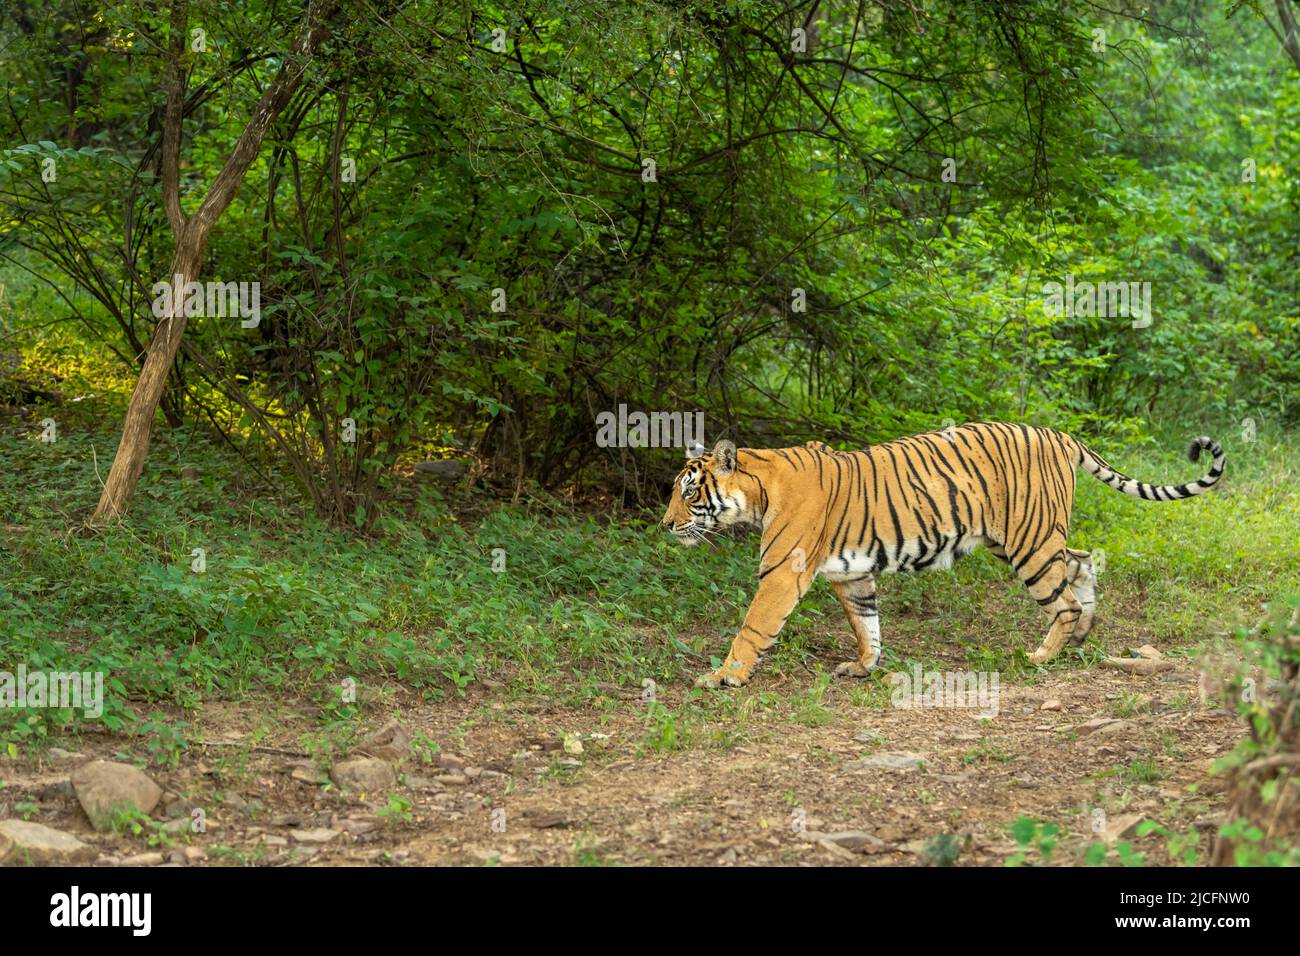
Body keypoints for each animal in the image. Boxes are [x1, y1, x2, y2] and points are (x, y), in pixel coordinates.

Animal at [660, 422, 1225, 688]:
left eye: (688, 492)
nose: (665, 525)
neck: (759, 490)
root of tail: (1058, 433)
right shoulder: (851, 575)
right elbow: (866, 624)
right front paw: (863, 667)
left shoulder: (782, 573)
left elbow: (752, 628)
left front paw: (724, 677)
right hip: (1026, 539)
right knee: (1083, 561)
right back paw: (1081, 637)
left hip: (1029, 543)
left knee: (1061, 598)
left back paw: (1042, 655)